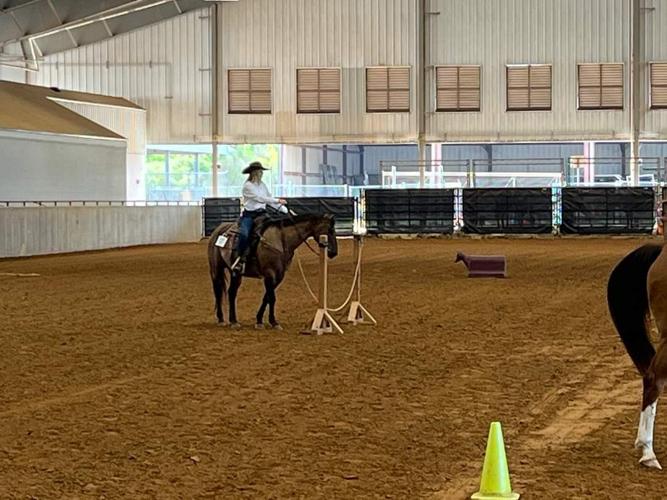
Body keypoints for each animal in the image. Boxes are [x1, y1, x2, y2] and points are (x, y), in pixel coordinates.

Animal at [207, 213, 337, 329]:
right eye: (330, 230)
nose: (334, 252)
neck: (281, 240)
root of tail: (219, 229)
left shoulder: (278, 276)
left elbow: (267, 298)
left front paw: (260, 320)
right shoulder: (269, 274)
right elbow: (272, 298)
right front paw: (273, 322)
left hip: (236, 274)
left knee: (231, 293)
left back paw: (232, 320)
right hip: (216, 269)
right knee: (218, 291)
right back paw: (224, 320)